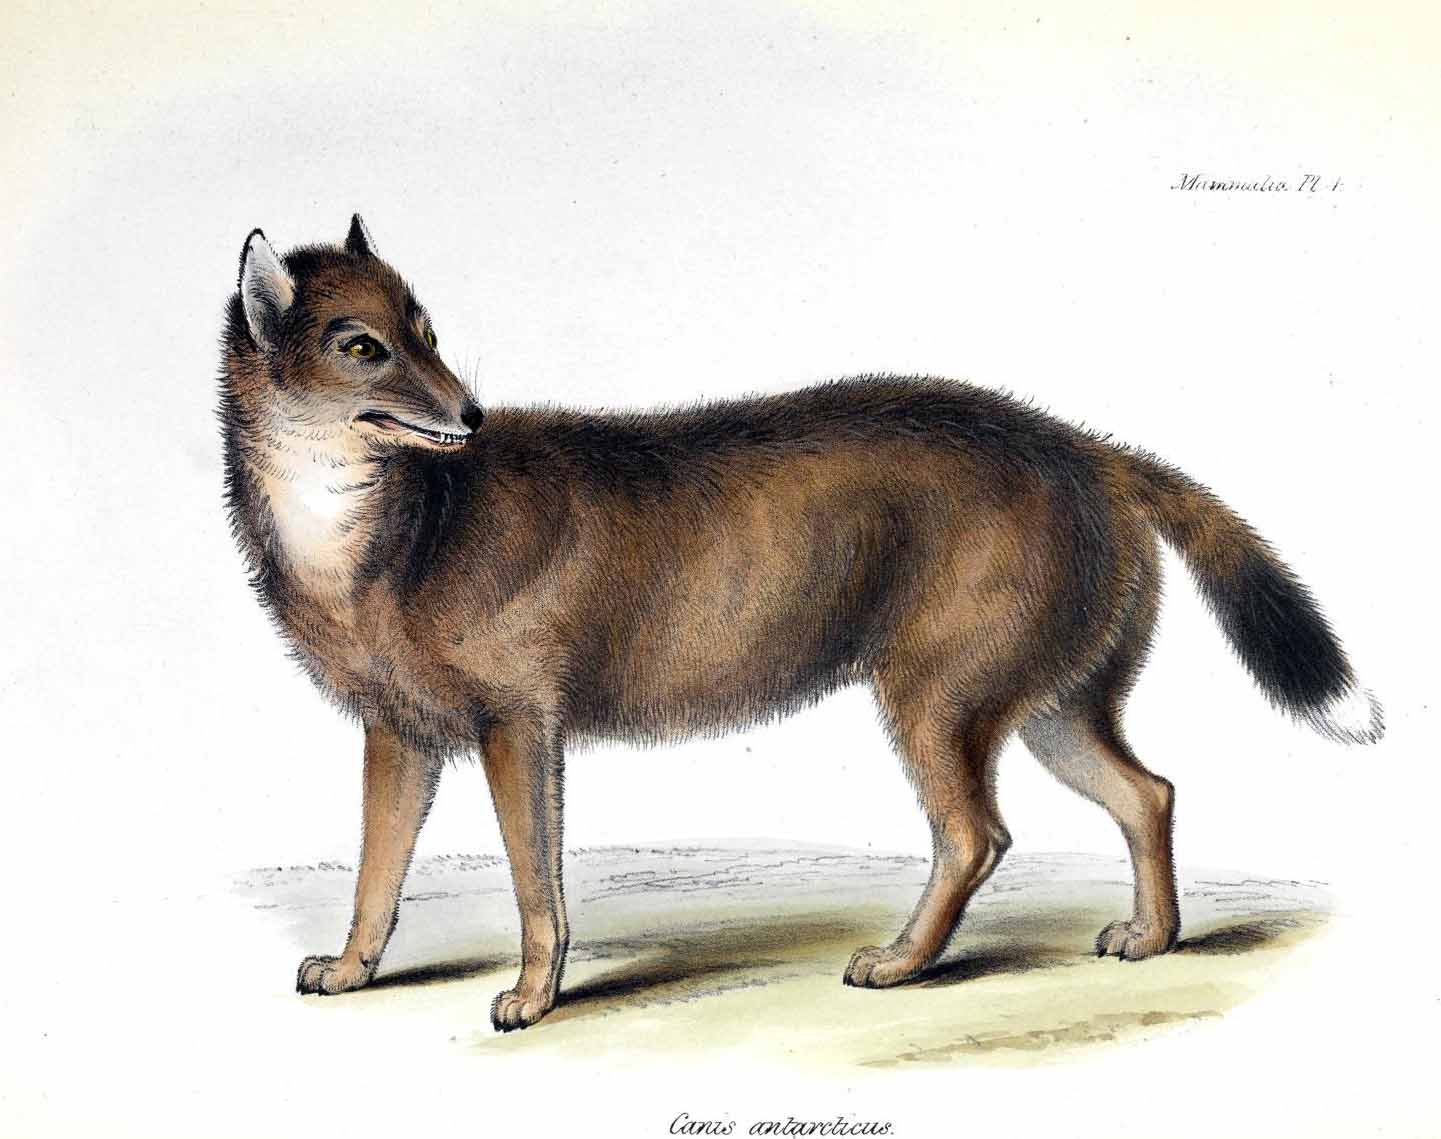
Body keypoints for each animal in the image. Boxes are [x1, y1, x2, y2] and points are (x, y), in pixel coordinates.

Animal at [220, 216, 1382, 1032]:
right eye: (362, 344)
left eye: (427, 332)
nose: (469, 414)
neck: (388, 534)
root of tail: (1090, 447)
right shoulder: (399, 734)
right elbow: (376, 873)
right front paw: (349, 968)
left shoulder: (520, 727)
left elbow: (532, 878)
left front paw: (532, 995)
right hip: (1049, 703)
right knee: (1149, 792)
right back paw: (1150, 936)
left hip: (938, 698)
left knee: (978, 834)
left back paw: (899, 962)